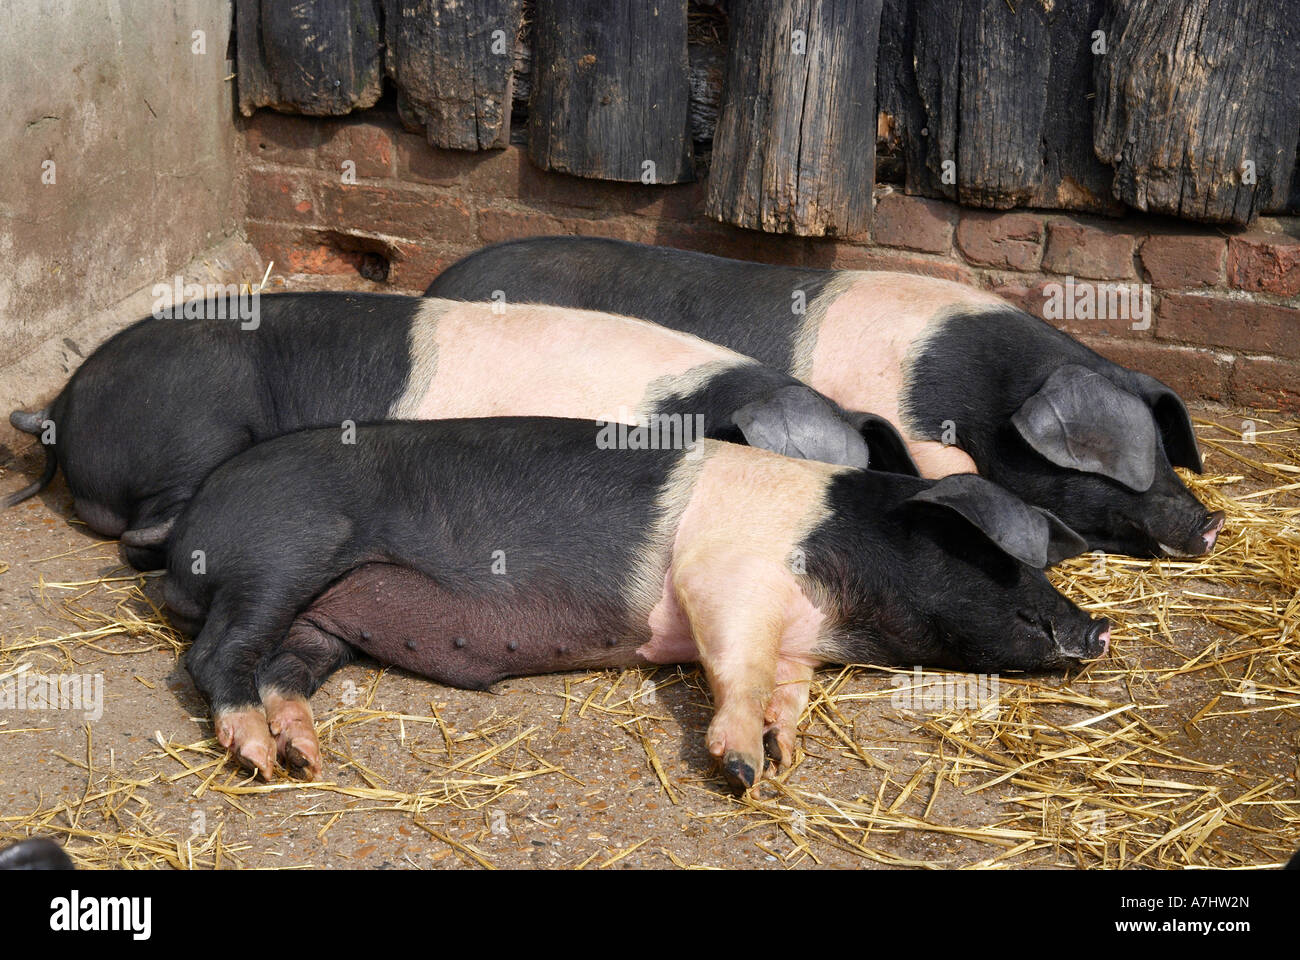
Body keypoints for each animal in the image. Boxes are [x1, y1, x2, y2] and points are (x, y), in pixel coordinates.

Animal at [161, 416, 1108, 789]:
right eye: (994, 555)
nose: (1096, 627)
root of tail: (189, 520)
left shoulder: (797, 634)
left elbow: (787, 684)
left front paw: (788, 750)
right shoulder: (727, 579)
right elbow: (735, 665)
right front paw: (744, 770)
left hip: (326, 619)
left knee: (281, 666)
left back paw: (305, 757)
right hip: (283, 551)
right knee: (215, 655)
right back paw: (257, 759)